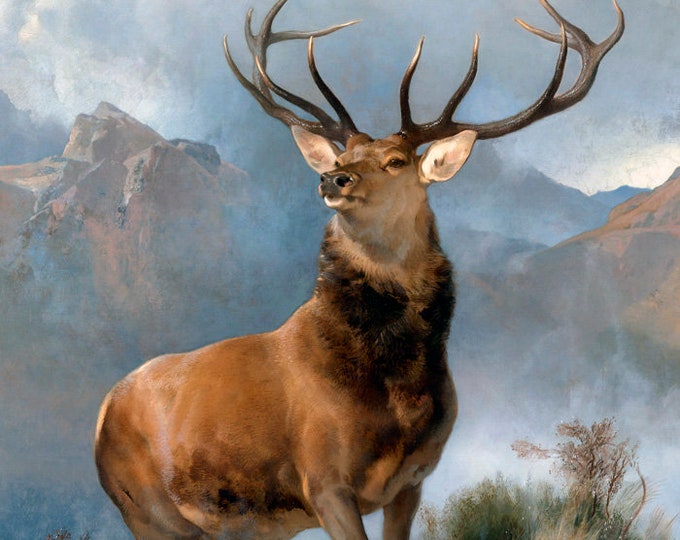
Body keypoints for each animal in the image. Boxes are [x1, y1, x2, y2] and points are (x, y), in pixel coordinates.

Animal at [94, 1, 623, 538]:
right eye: (345, 155)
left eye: (395, 161)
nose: (333, 178)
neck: (397, 397)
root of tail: (103, 409)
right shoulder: (324, 480)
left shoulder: (412, 481)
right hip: (144, 511)